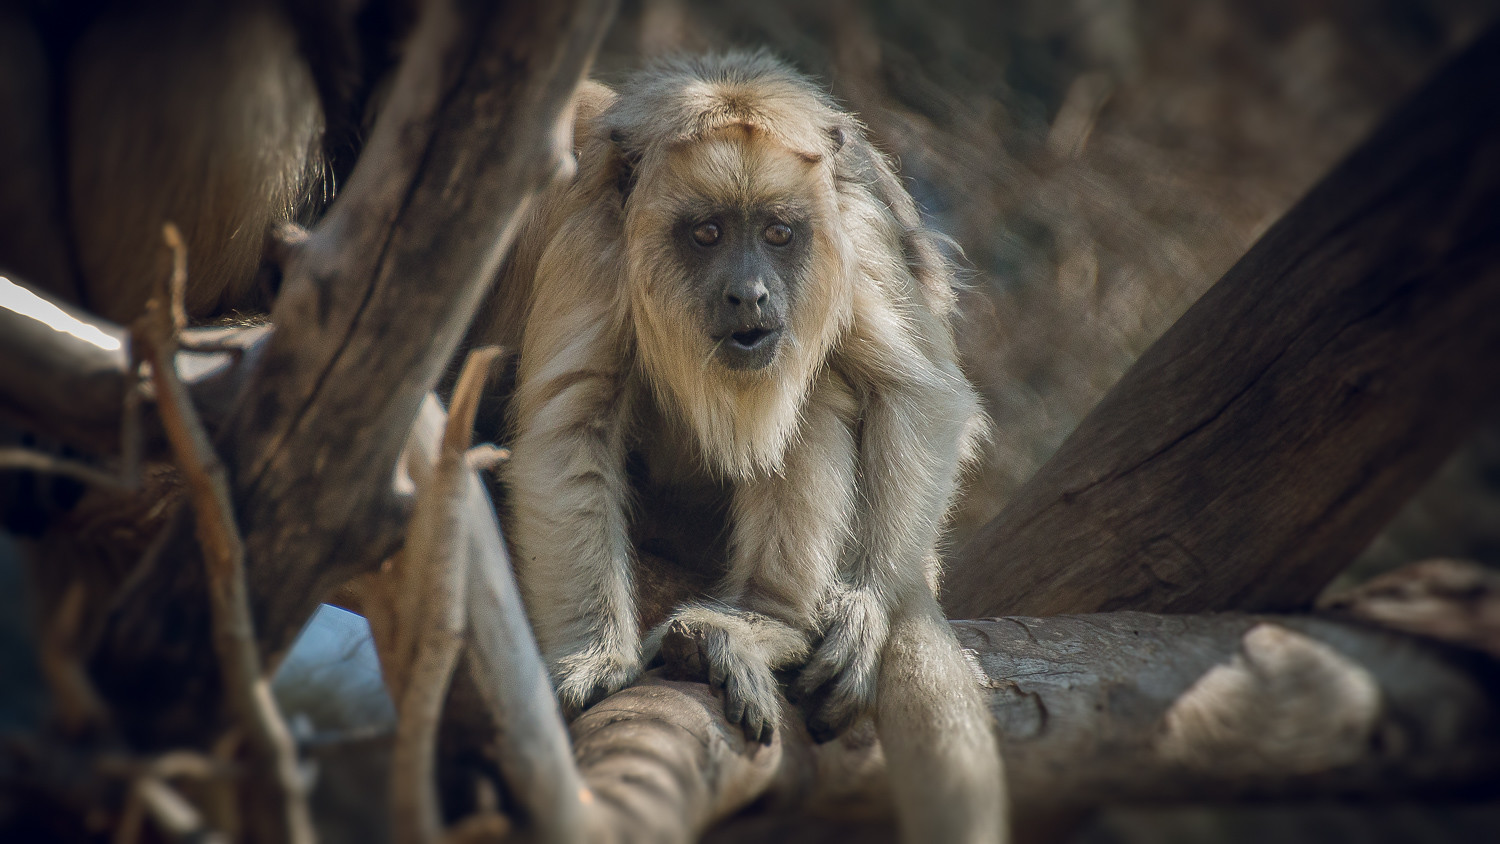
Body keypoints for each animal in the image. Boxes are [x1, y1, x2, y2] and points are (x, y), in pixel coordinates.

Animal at [479, 52, 1007, 842]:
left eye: (778, 233)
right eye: (707, 233)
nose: (751, 295)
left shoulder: (857, 231)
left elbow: (920, 392)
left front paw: (863, 615)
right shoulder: (593, 242)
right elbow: (570, 420)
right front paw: (593, 658)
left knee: (817, 389)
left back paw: (768, 624)